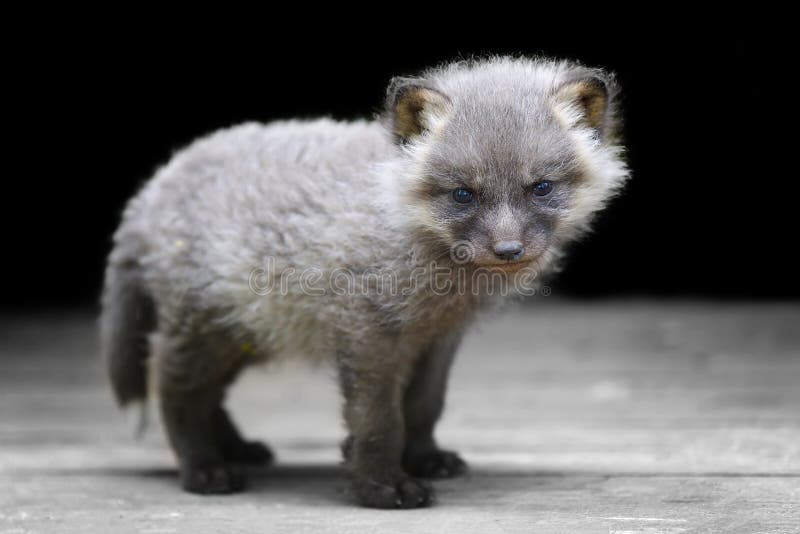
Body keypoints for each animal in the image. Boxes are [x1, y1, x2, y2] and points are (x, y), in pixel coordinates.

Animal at [100, 56, 628, 509]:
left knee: (210, 397)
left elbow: (423, 406)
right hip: (201, 331)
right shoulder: (368, 333)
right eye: (463, 195)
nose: (508, 251)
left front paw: (424, 459)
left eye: (541, 188)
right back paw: (205, 470)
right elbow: (378, 419)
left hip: (247, 333)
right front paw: (381, 486)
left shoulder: (437, 338)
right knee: (175, 389)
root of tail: (152, 189)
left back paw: (238, 449)